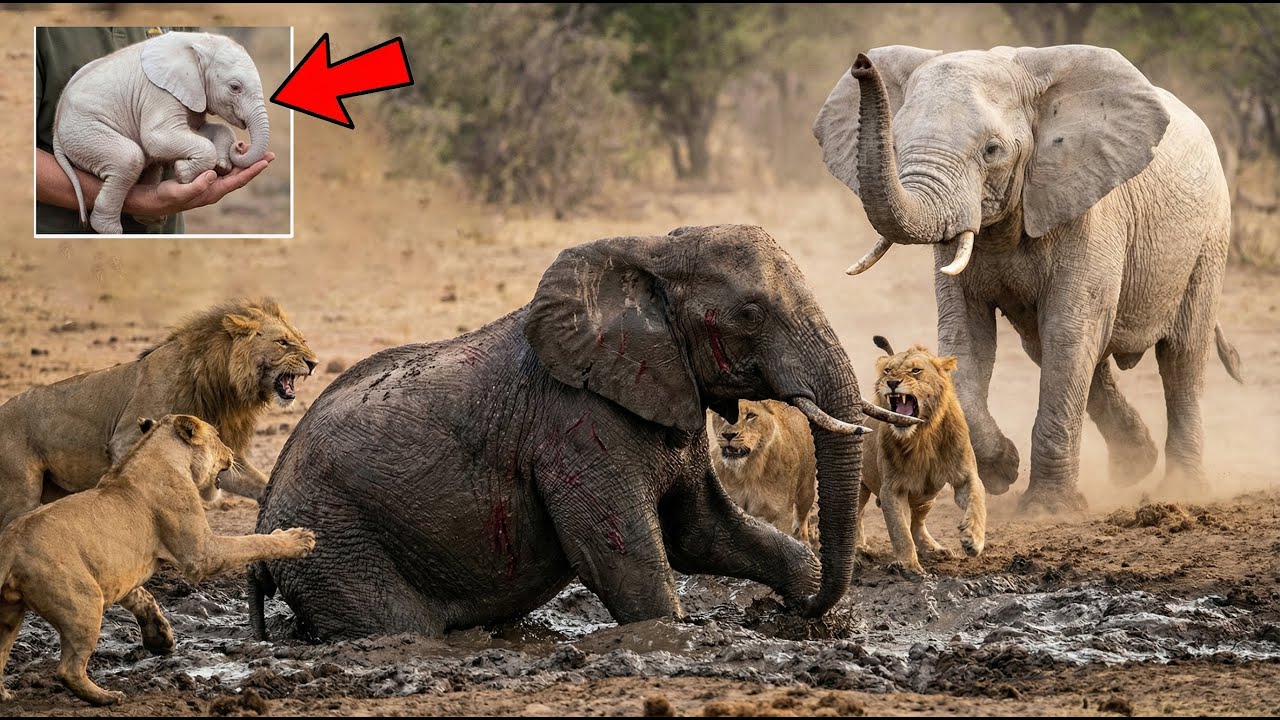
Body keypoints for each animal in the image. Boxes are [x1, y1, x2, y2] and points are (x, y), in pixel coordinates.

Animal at [52, 31, 270, 235]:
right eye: (235, 87)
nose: (240, 146)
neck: (197, 44)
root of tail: (56, 128)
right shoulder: (158, 92)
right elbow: (156, 136)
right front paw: (183, 172)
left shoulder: (191, 92)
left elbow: (202, 128)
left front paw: (222, 166)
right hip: (82, 130)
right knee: (129, 157)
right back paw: (111, 230)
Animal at [250, 224, 920, 640]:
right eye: (751, 313)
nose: (795, 612)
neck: (651, 256)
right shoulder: (576, 426)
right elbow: (625, 558)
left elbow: (701, 532)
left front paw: (820, 617)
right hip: (335, 544)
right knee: (396, 626)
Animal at [813, 45, 1244, 512]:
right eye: (894, 145)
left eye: (992, 150)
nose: (861, 64)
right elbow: (966, 337)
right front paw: (1003, 470)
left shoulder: (1090, 213)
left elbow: (1069, 333)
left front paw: (1047, 509)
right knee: (1067, 355)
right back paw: (1135, 466)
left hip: (1210, 239)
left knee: (1181, 357)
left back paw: (1183, 488)